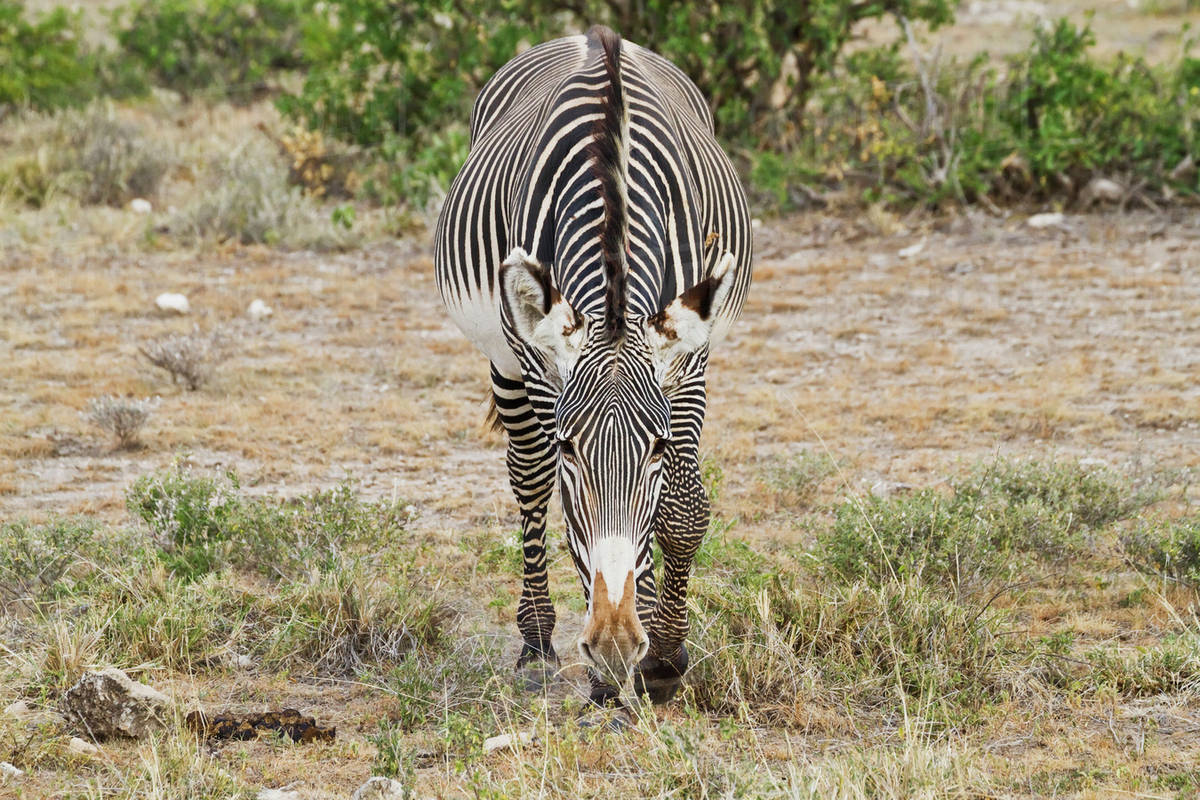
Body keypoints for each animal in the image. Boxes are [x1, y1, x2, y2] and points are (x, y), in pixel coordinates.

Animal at [435, 25, 751, 705]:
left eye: (657, 449)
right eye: (572, 450)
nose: (611, 643)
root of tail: (587, 34)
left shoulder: (689, 361)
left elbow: (682, 510)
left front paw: (662, 655)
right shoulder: (541, 365)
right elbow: (566, 511)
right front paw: (609, 676)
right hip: (505, 359)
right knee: (528, 480)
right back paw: (537, 643)